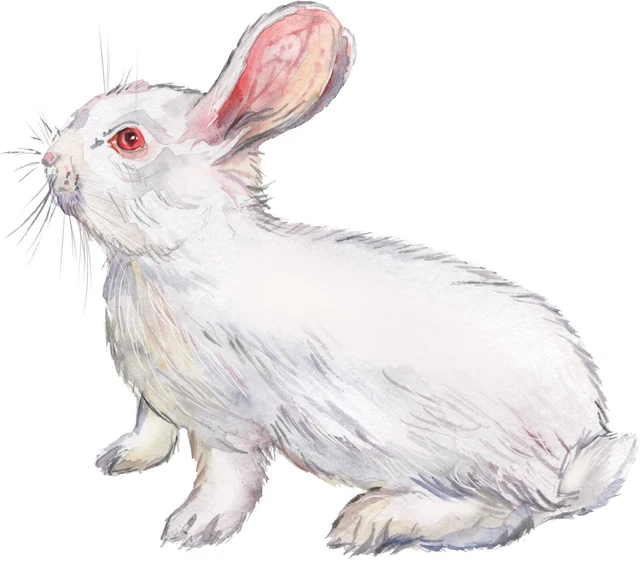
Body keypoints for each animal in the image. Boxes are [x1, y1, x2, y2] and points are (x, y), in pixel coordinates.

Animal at [33, 0, 636, 554]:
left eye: (128, 140)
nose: (49, 159)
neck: (176, 255)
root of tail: (571, 453)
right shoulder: (156, 390)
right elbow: (152, 423)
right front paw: (121, 457)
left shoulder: (230, 418)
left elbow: (228, 475)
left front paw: (192, 529)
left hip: (448, 457)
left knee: (500, 514)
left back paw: (368, 521)